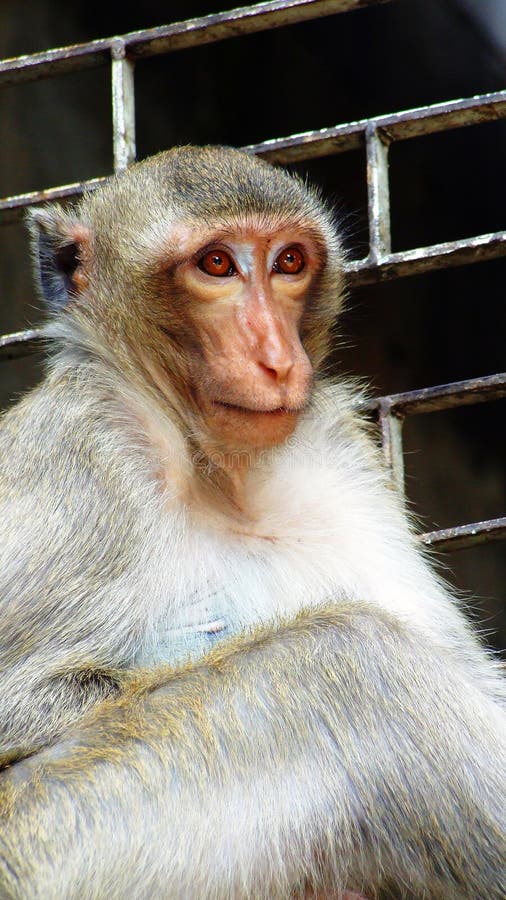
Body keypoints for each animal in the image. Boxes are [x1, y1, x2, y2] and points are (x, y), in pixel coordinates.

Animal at [0, 146, 504, 900]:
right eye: (216, 265)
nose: (277, 357)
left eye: (288, 261)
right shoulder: (81, 453)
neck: (215, 473)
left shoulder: (333, 450)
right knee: (348, 663)